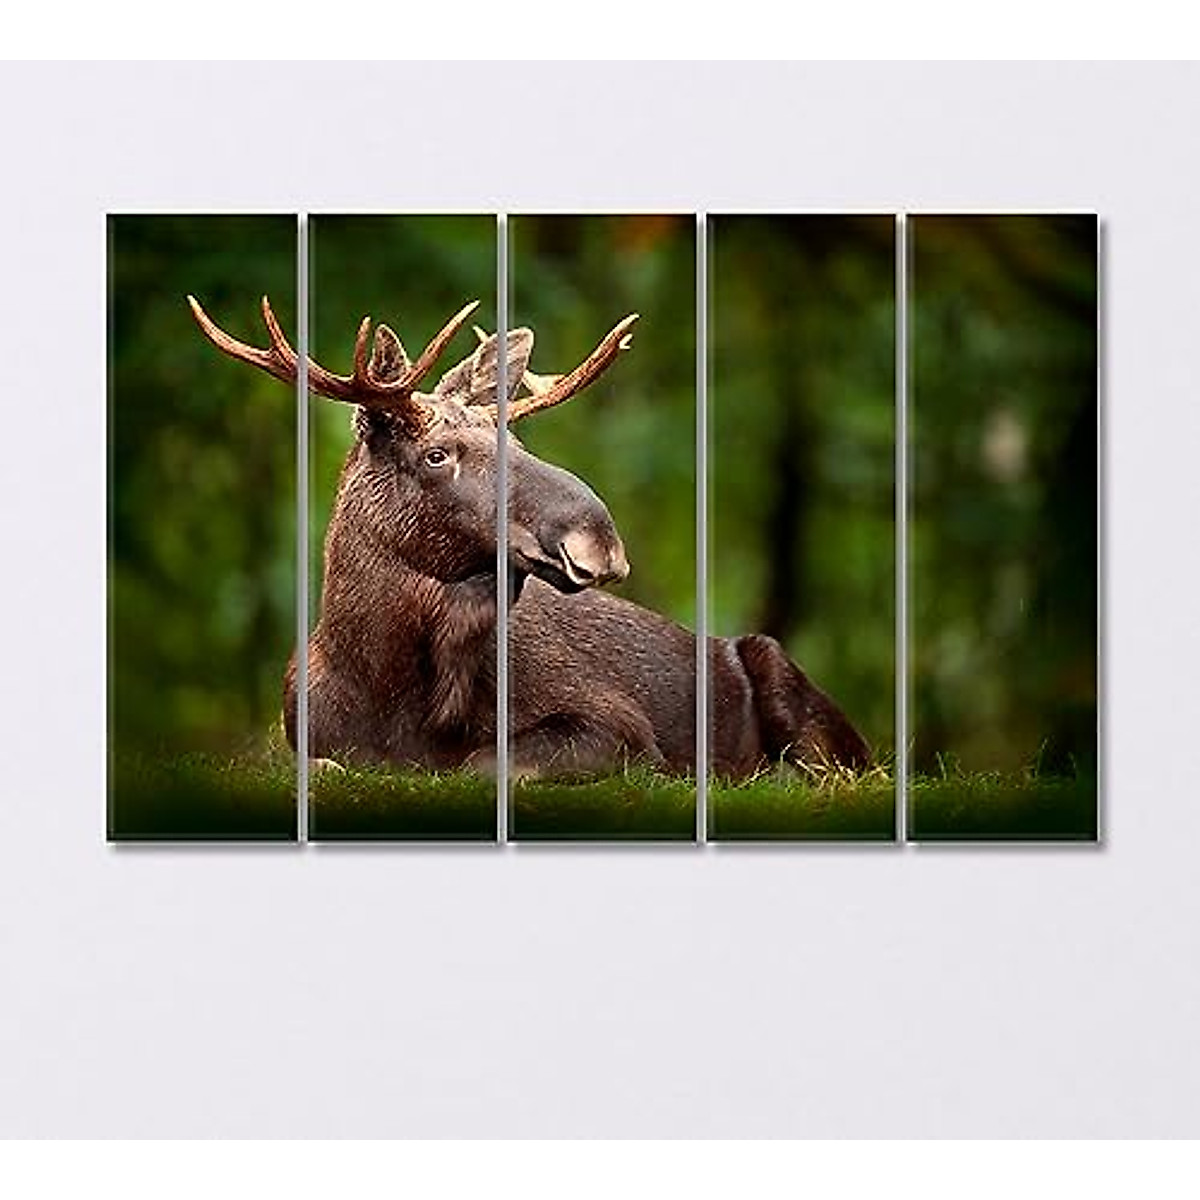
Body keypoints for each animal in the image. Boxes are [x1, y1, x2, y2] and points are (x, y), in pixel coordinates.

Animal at [187, 295, 871, 780]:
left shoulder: (620, 725)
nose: (599, 540)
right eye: (436, 454)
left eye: (515, 441)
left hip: (790, 681)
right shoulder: (300, 740)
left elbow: (484, 764)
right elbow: (328, 765)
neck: (387, 691)